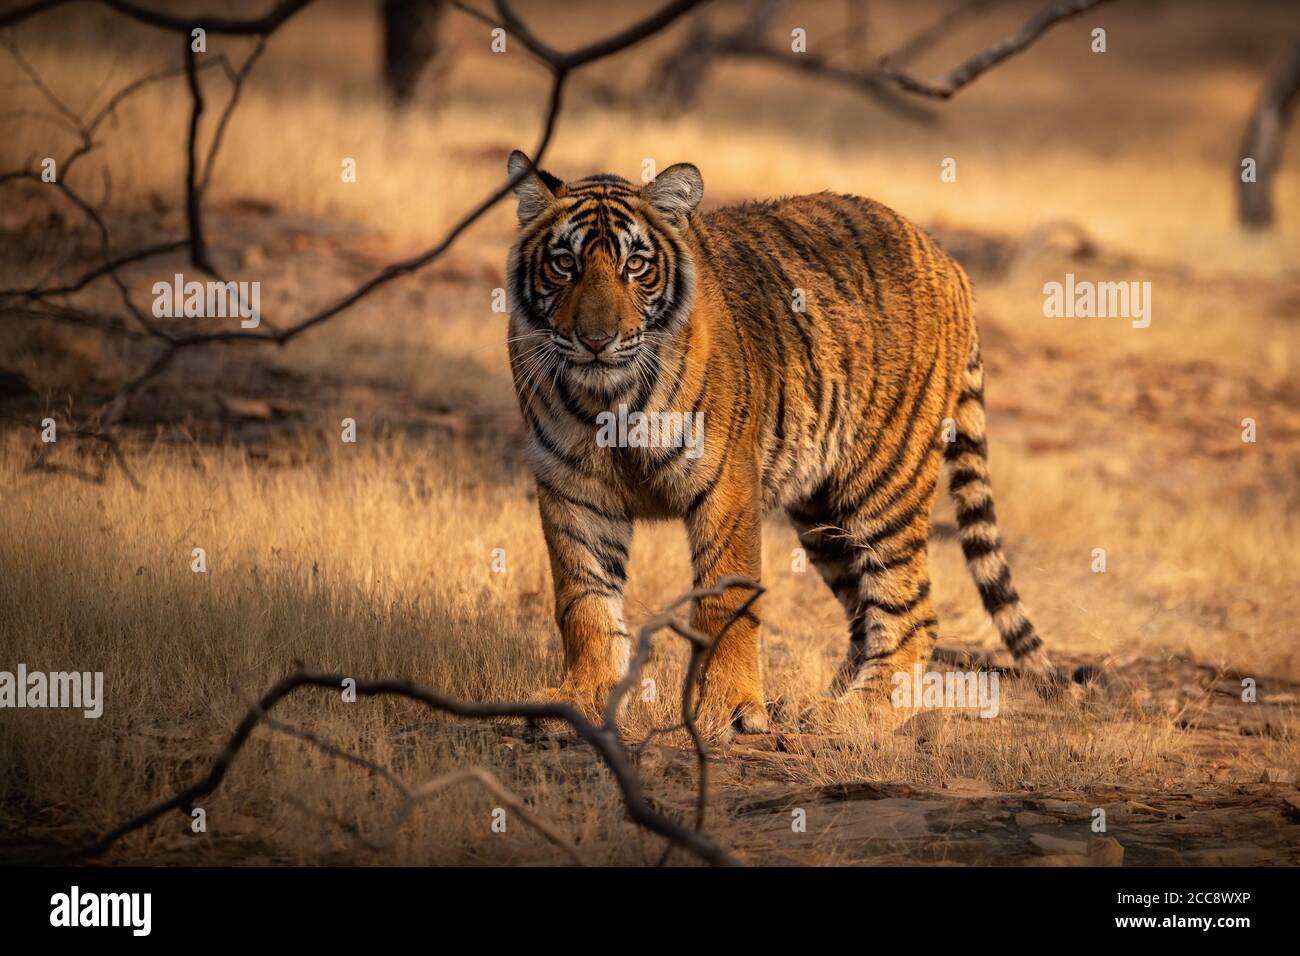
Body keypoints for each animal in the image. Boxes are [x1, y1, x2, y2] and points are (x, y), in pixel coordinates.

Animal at [504, 149, 1052, 734]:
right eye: (565, 263)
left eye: (635, 266)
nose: (596, 340)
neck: (607, 399)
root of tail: (948, 259)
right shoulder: (573, 488)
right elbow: (582, 601)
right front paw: (583, 698)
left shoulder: (725, 483)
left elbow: (727, 599)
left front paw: (730, 708)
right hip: (823, 512)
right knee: (864, 613)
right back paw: (822, 703)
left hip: (886, 482)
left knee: (913, 612)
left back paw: (857, 714)